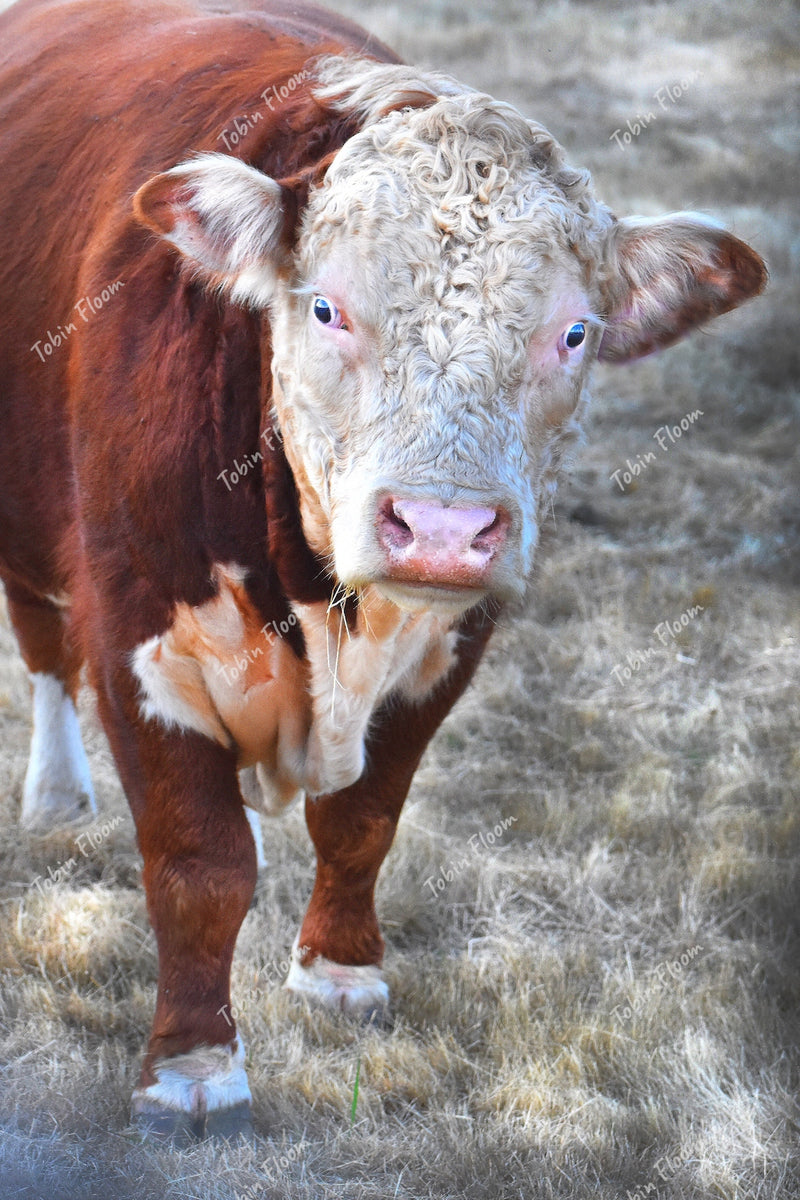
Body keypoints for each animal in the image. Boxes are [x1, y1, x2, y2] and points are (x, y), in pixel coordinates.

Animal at [0, 0, 766, 1141]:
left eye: (573, 333)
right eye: (325, 308)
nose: (442, 525)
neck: (320, 607)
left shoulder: (453, 641)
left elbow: (362, 821)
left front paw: (339, 973)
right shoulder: (137, 629)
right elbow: (197, 860)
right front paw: (193, 1068)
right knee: (42, 638)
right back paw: (55, 794)